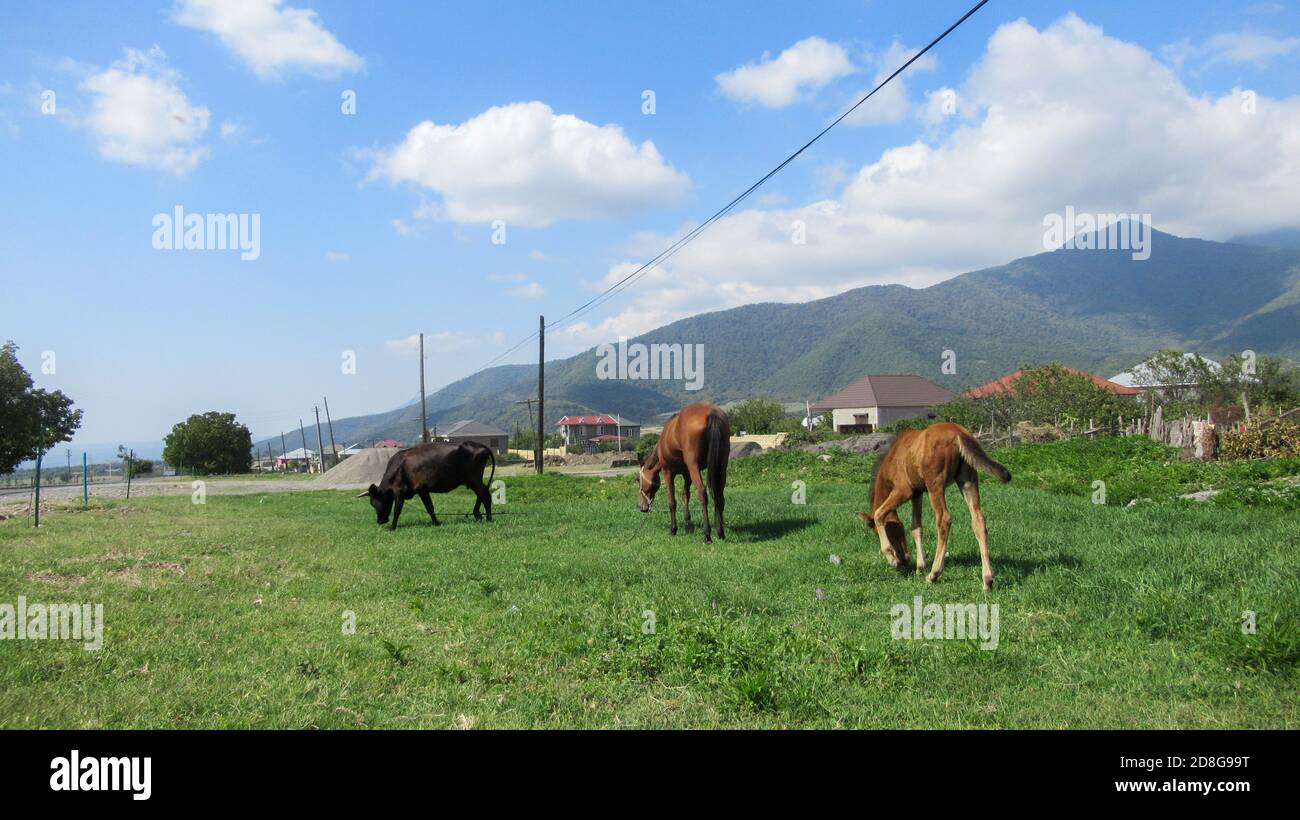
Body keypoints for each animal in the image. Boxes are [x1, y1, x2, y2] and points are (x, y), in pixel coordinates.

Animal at [359, 441, 496, 530]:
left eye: (373, 503)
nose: (380, 521)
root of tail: (481, 446)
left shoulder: (399, 491)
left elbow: (397, 509)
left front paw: (392, 527)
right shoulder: (422, 490)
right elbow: (429, 508)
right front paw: (437, 523)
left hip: (474, 479)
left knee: (485, 495)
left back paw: (489, 518)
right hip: (473, 480)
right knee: (482, 494)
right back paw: (478, 515)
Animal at [638, 403, 730, 543]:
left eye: (639, 480)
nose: (642, 507)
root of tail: (712, 413)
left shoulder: (668, 472)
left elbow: (672, 502)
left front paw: (673, 529)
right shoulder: (687, 474)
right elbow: (685, 495)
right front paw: (688, 523)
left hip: (694, 467)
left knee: (702, 493)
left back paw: (707, 534)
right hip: (721, 467)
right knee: (719, 495)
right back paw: (720, 532)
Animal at [856, 422, 1010, 590]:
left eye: (878, 533)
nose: (904, 559)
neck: (893, 456)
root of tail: (959, 433)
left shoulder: (904, 490)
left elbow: (879, 514)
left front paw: (892, 559)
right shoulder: (917, 493)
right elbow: (916, 527)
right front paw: (919, 567)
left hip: (935, 485)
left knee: (944, 520)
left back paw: (934, 574)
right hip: (968, 480)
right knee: (978, 519)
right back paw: (987, 580)